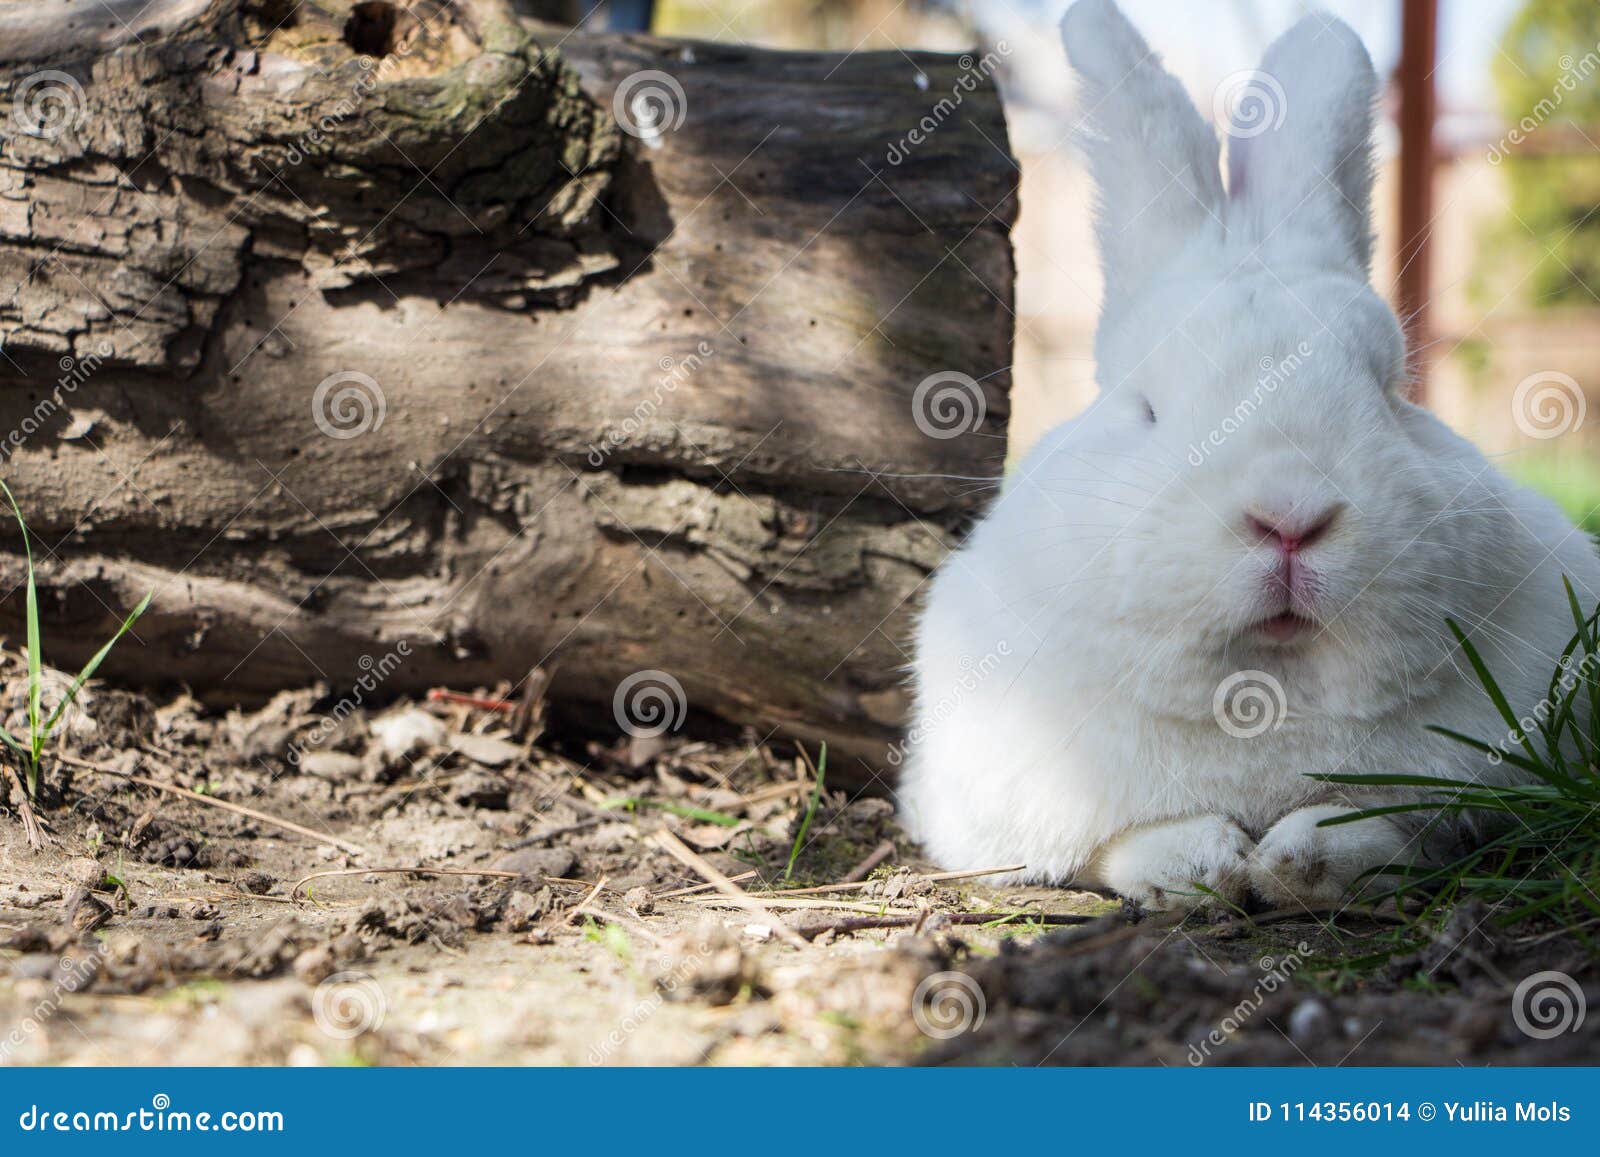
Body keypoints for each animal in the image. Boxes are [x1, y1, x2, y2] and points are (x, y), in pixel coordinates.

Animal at [899, 0, 1600, 910]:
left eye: (1390, 389)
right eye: (1148, 407)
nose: (1290, 519)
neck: (1270, 690)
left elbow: (1396, 829)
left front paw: (1301, 857)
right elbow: (1116, 844)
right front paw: (1201, 865)